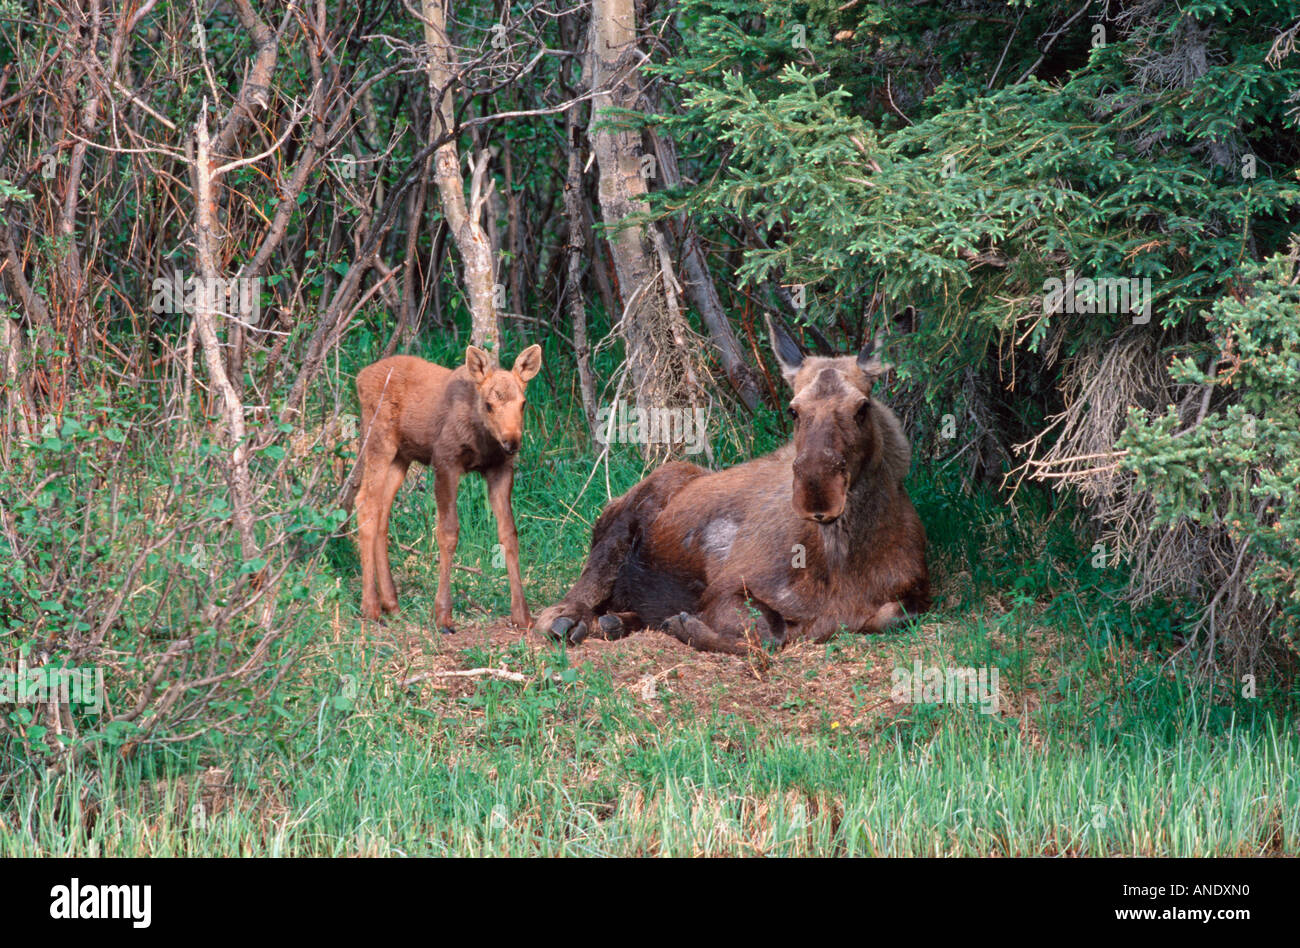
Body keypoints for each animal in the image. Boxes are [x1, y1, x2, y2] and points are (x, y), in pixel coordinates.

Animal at [353, 344, 542, 633]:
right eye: (489, 405)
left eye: (523, 403)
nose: (512, 442)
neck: (483, 440)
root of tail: (360, 378)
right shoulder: (445, 461)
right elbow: (448, 532)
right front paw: (443, 614)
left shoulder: (500, 468)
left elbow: (509, 533)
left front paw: (523, 615)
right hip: (377, 440)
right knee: (365, 502)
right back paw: (371, 607)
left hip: (402, 456)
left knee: (382, 510)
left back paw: (391, 603)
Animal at [534, 315, 928, 655]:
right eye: (793, 410)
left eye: (862, 408)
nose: (818, 494)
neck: (842, 562)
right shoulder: (726, 590)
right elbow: (770, 632)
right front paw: (685, 626)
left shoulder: (916, 594)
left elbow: (892, 615)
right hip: (625, 520)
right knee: (571, 596)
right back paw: (570, 621)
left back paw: (616, 622)